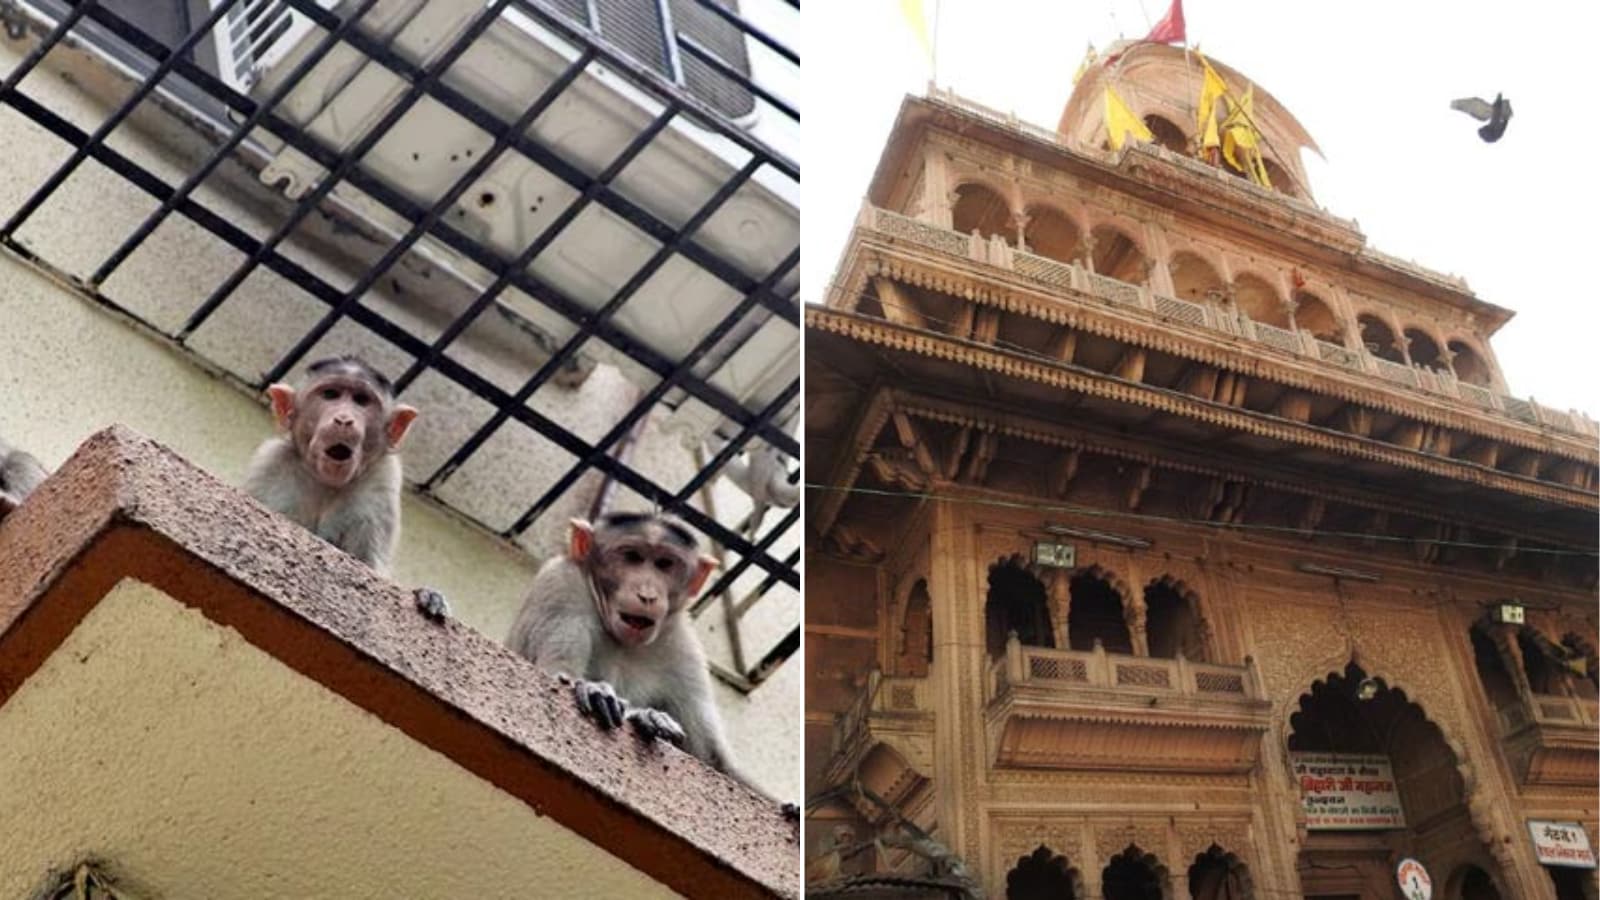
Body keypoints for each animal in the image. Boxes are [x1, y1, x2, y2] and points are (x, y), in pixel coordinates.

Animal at [242, 355, 447, 620]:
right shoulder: (270, 463)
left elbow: (368, 564)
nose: (344, 419)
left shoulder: (383, 479)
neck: (326, 482)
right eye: (330, 394)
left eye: (361, 401)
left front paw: (427, 594)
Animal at [507, 512, 797, 819]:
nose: (647, 594)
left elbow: (713, 760)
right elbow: (556, 674)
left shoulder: (682, 644)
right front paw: (627, 707)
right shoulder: (561, 585)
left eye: (665, 564)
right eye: (631, 556)